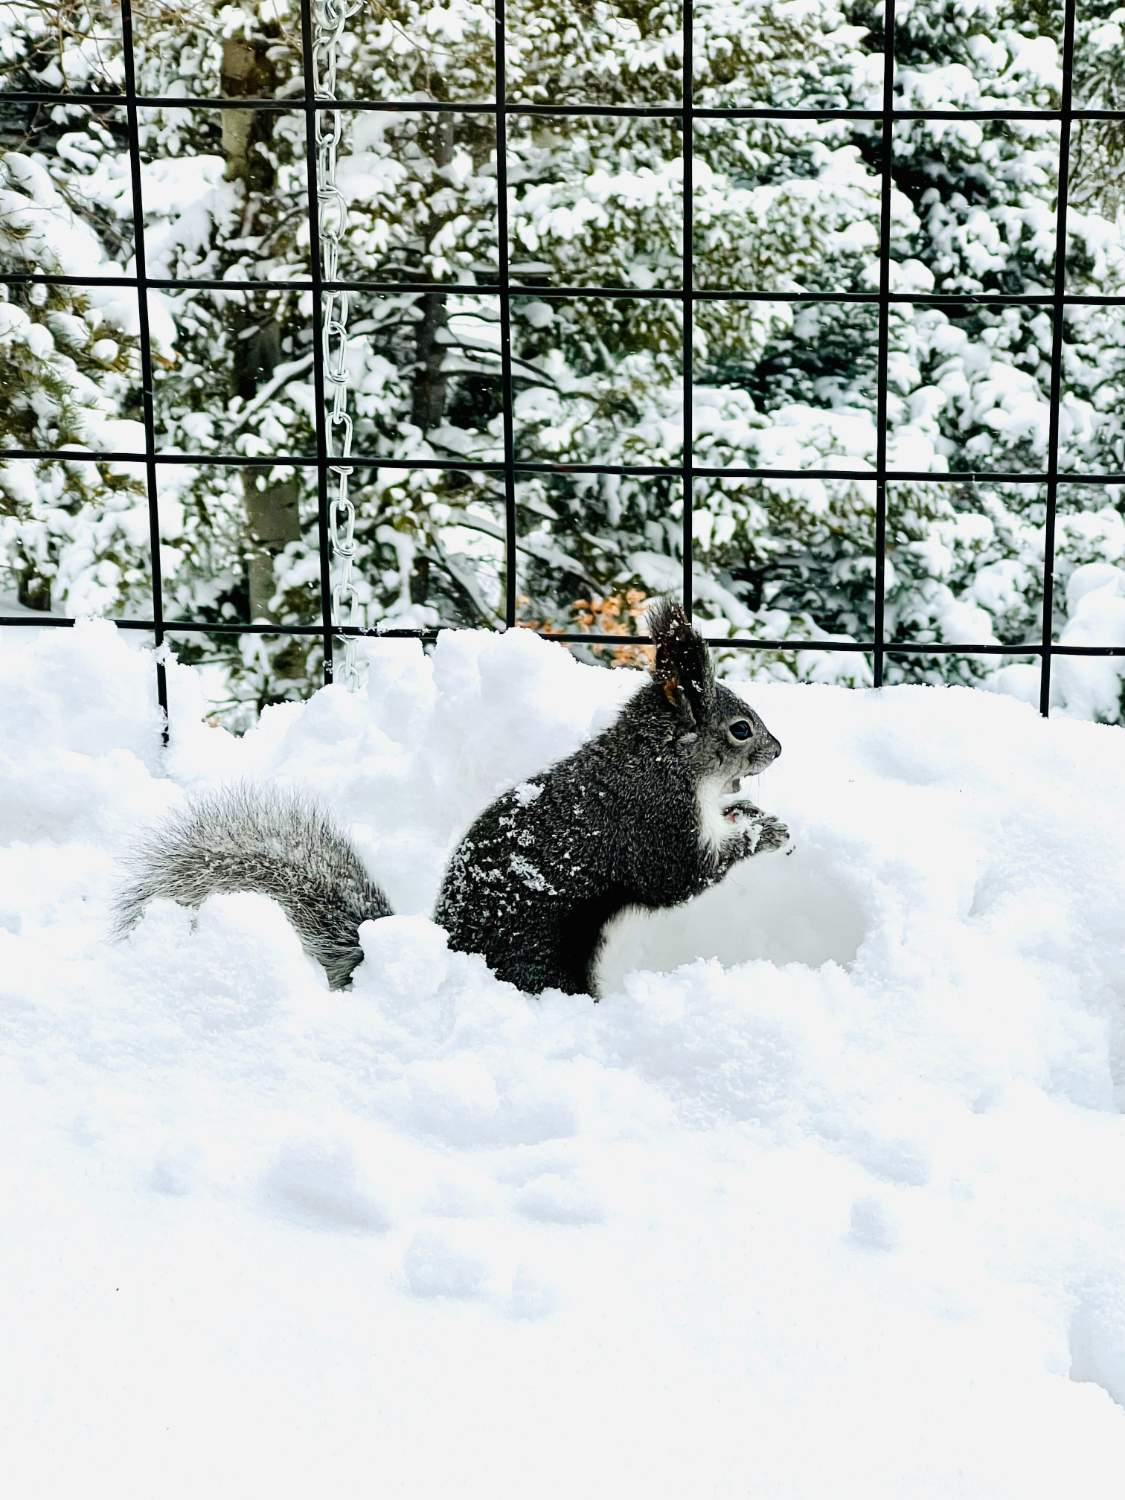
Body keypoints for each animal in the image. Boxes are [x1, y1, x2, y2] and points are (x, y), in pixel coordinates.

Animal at [115, 600, 790, 998]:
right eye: (740, 729)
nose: (778, 749)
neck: (659, 758)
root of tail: (445, 954)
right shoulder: (653, 826)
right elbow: (688, 875)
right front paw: (768, 833)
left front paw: (747, 812)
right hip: (546, 964)